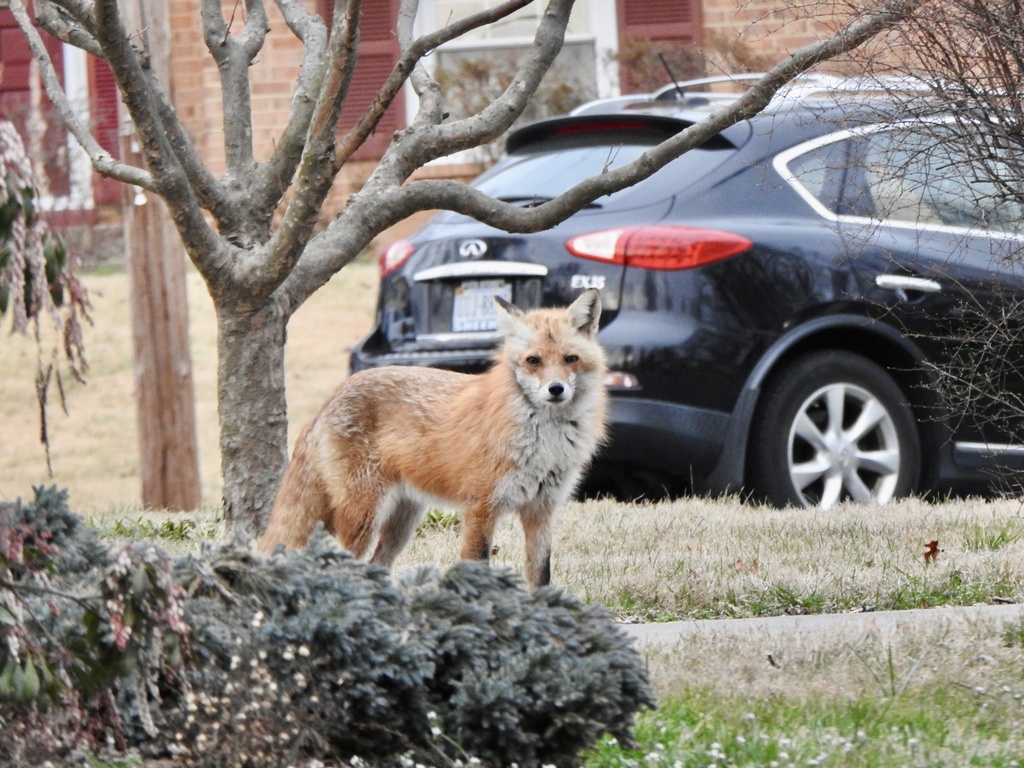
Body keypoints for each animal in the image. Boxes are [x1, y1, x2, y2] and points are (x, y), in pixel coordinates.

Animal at [258, 288, 607, 589]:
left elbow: (541, 574)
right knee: (344, 567)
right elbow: (477, 567)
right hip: (364, 515)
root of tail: (331, 396)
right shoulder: (480, 507)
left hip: (402, 522)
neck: (545, 444)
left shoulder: (541, 509)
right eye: (534, 361)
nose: (556, 389)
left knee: (376, 565)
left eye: (570, 359)